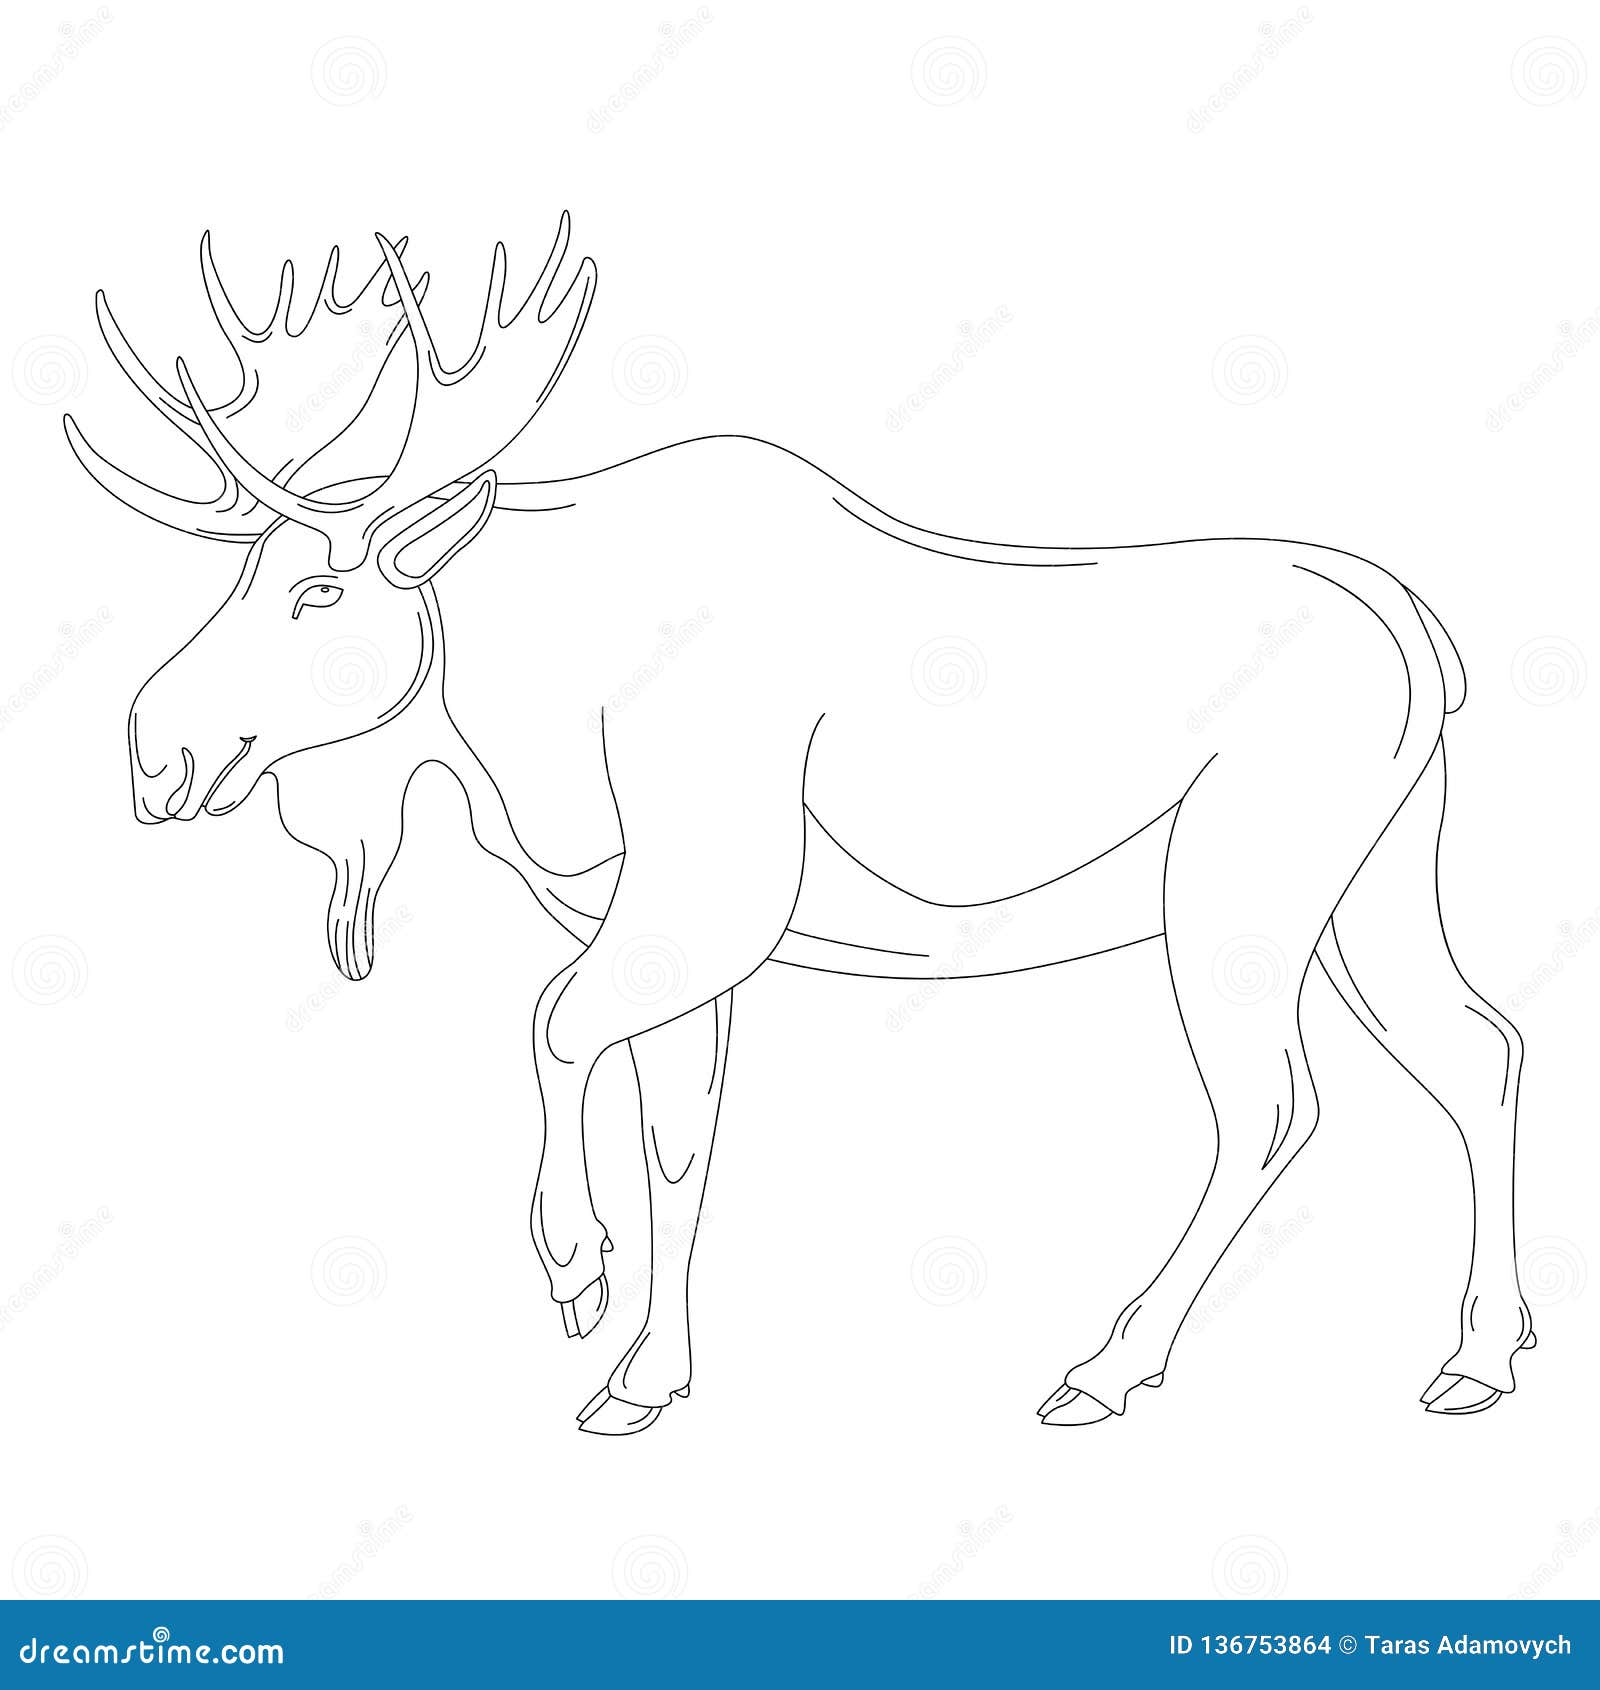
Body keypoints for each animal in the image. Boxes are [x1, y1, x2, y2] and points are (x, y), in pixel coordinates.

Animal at [66, 216, 1534, 1434]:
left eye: (315, 589)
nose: (152, 749)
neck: (524, 722)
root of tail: (1425, 634)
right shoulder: (680, 940)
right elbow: (681, 1141)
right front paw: (646, 1377)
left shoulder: (709, 898)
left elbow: (550, 1028)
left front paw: (574, 1267)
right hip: (1364, 891)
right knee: (1478, 1048)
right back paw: (1478, 1353)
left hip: (1240, 891)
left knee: (1272, 1103)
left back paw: (1107, 1364)